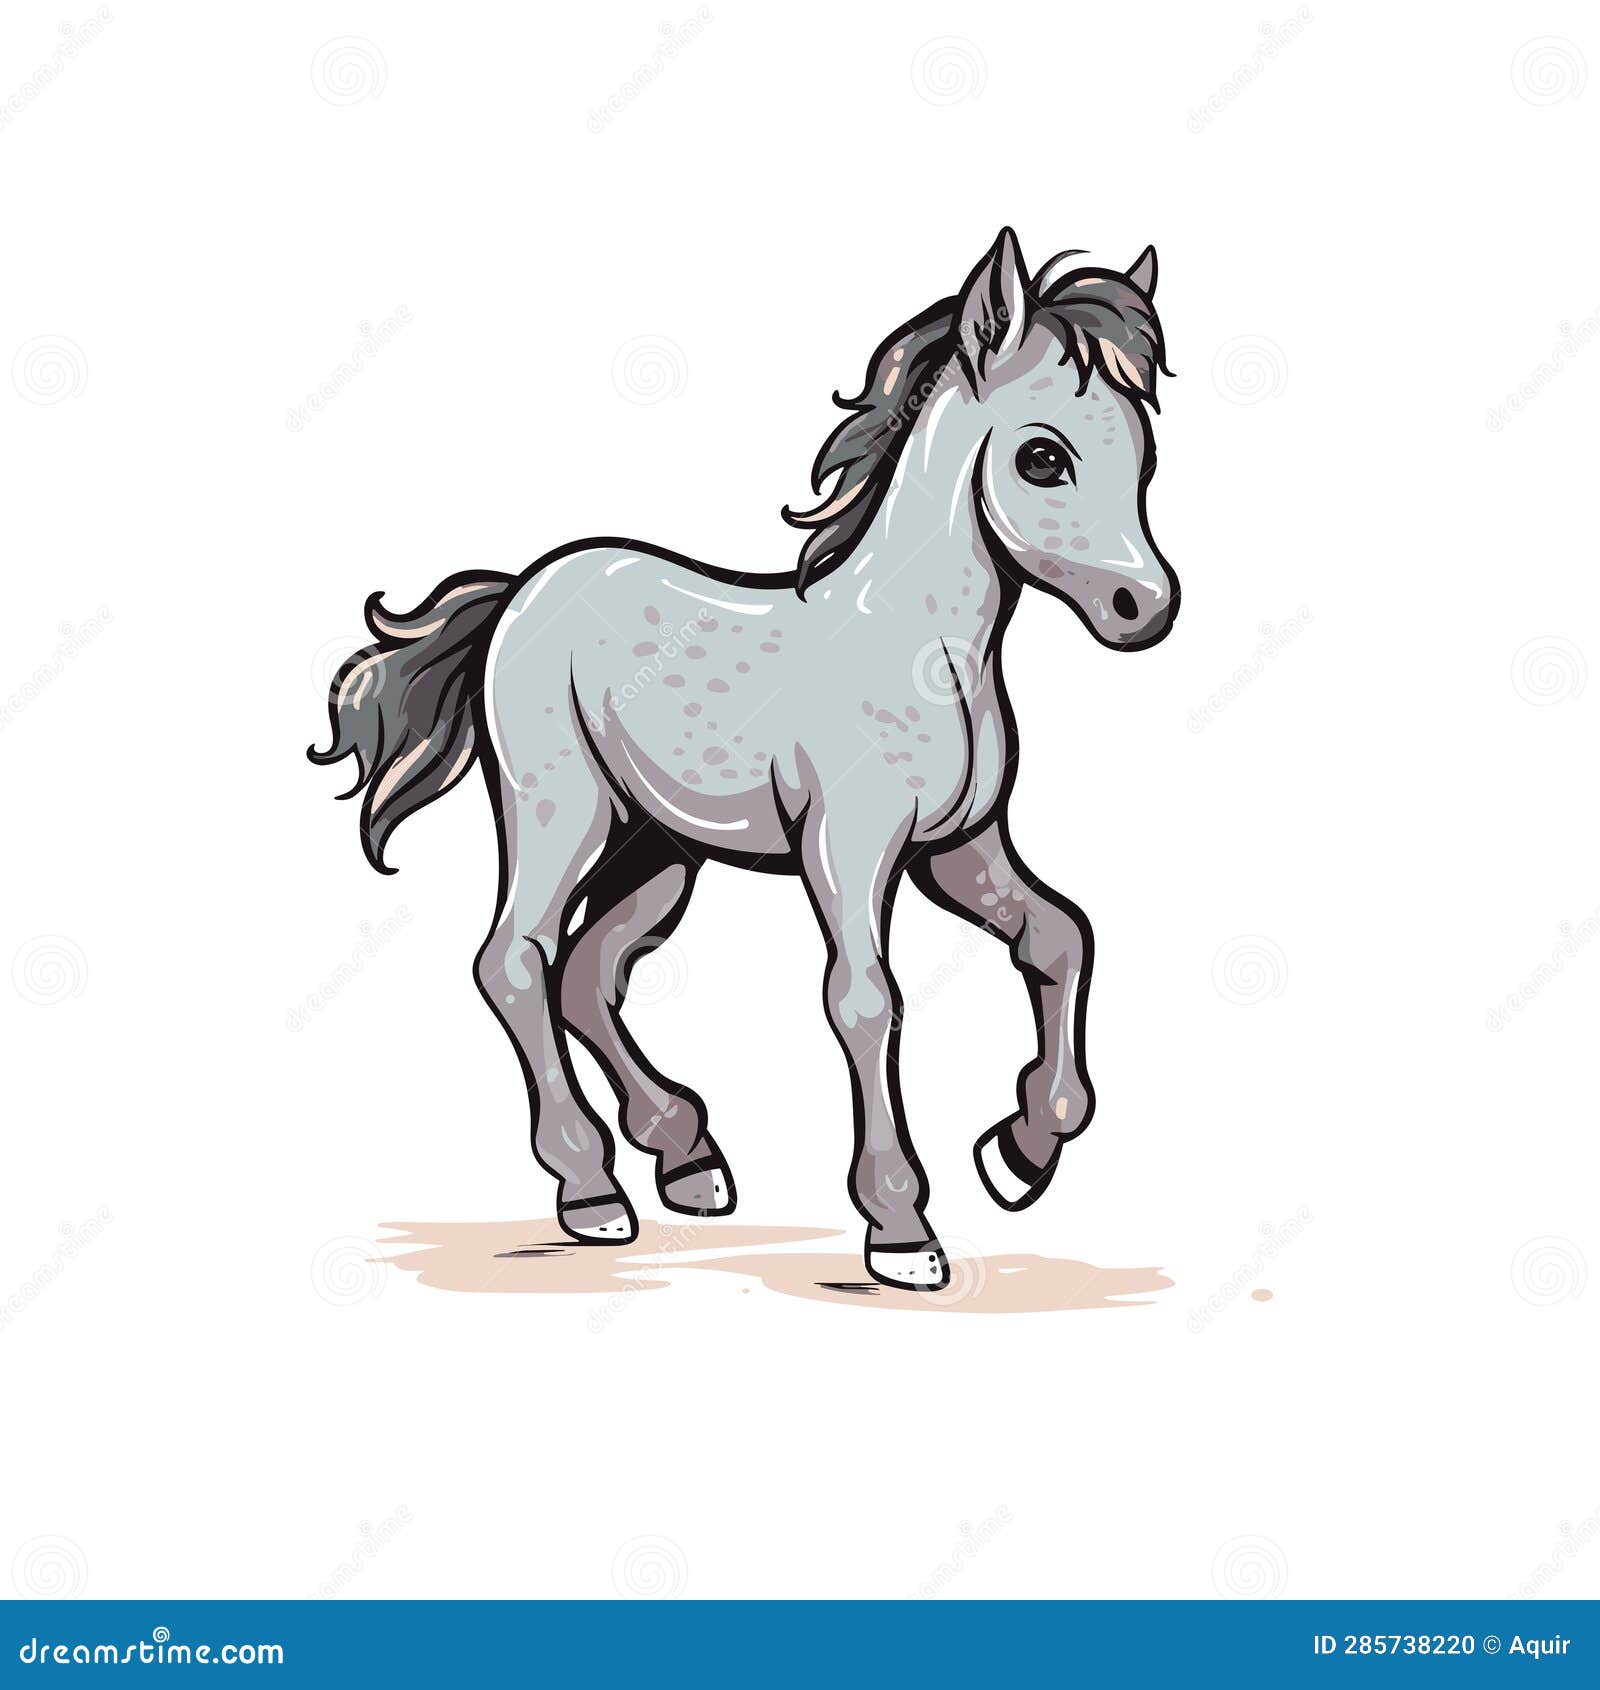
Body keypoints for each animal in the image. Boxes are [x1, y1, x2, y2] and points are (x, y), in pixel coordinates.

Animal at [310, 228, 1178, 1290]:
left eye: (1144, 452)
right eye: (1043, 456)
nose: (1146, 609)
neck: (920, 646)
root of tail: (520, 589)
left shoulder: (959, 847)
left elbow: (1060, 936)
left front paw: (1019, 1153)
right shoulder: (850, 849)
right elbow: (865, 1001)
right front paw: (903, 1231)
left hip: (659, 847)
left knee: (588, 970)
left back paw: (687, 1158)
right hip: (564, 813)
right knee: (516, 959)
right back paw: (593, 1193)